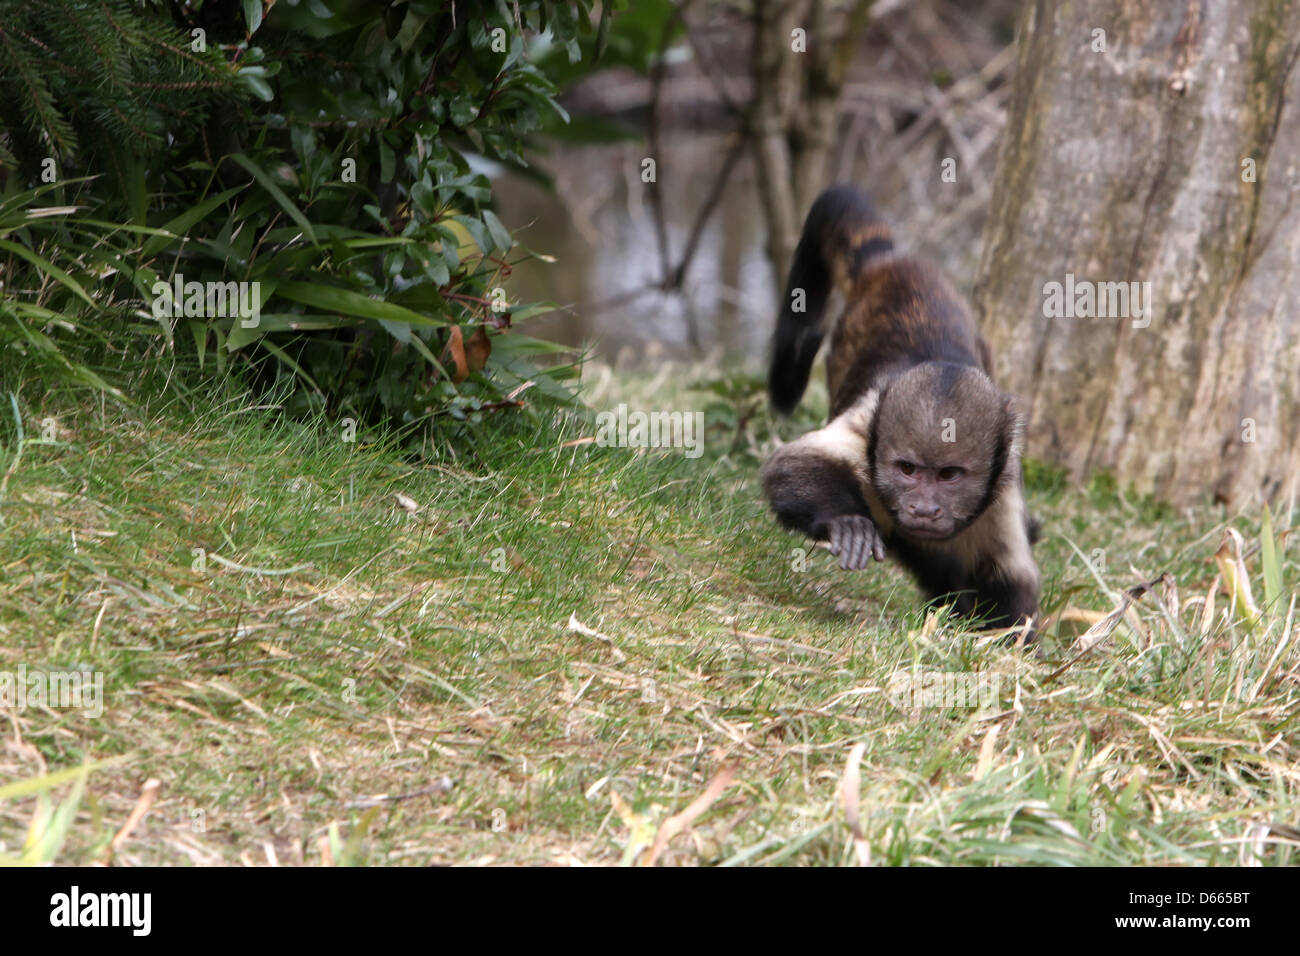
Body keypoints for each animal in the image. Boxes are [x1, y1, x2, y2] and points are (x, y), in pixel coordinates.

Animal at [760, 185, 1040, 635]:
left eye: (949, 475)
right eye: (907, 469)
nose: (923, 508)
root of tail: (890, 262)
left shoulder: (1002, 486)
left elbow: (1007, 578)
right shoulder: (867, 429)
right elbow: (793, 462)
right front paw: (846, 521)